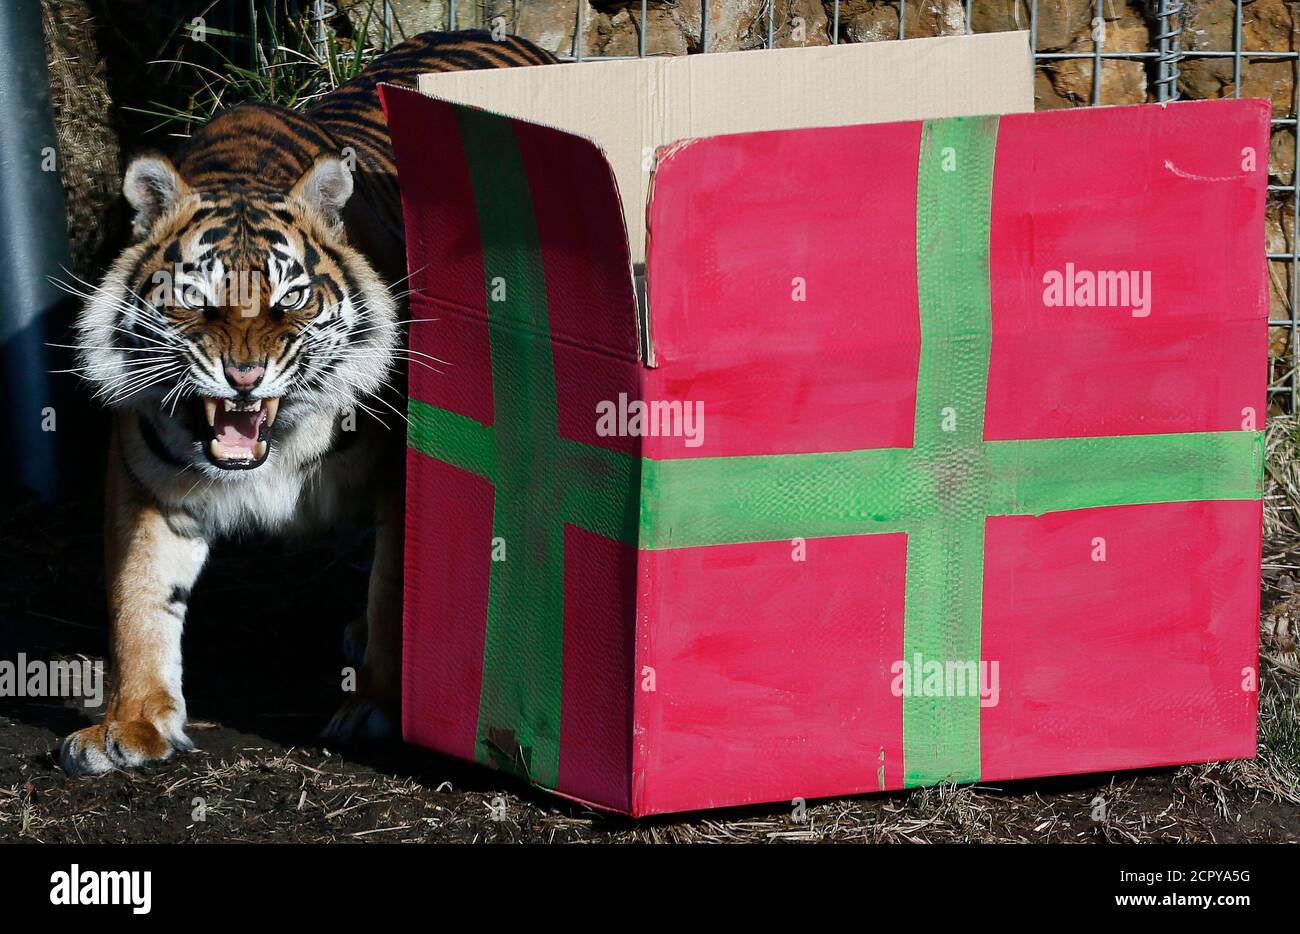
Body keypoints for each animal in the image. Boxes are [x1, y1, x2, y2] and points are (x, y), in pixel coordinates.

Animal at [59, 30, 558, 775]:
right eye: (195, 298)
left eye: (290, 298)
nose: (243, 376)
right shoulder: (145, 481)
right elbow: (138, 595)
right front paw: (132, 722)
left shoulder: (403, 476)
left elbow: (396, 587)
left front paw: (378, 707)